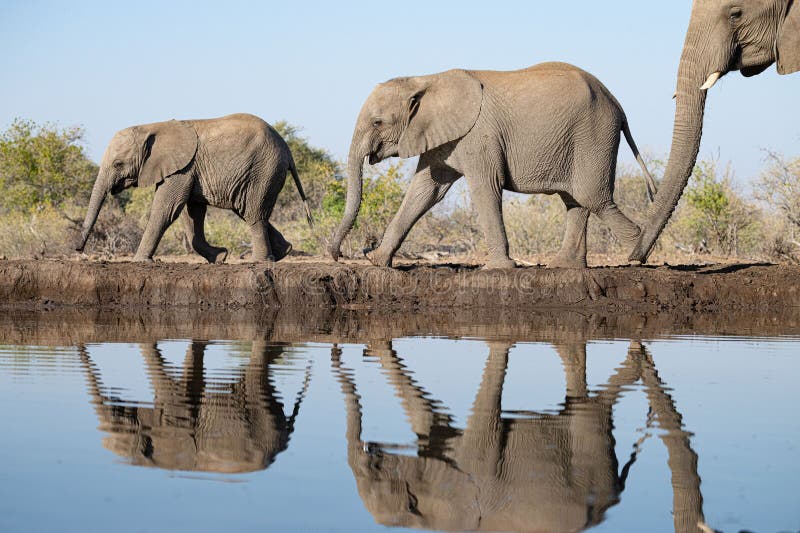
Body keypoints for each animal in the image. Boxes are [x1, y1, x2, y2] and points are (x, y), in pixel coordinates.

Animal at [76, 113, 313, 263]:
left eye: (118, 164)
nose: (79, 250)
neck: (151, 127)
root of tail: (287, 150)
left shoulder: (183, 168)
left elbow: (167, 209)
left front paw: (139, 261)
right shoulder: (188, 169)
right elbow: (192, 214)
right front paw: (220, 257)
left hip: (262, 171)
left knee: (253, 213)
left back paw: (259, 261)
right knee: (247, 211)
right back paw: (284, 252)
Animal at [329, 62, 658, 269]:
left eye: (377, 122)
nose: (339, 255)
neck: (425, 80)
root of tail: (617, 104)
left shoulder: (478, 135)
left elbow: (485, 187)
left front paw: (497, 269)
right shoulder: (442, 138)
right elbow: (425, 191)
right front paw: (377, 262)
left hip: (594, 135)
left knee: (593, 198)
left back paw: (636, 254)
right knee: (575, 200)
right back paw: (565, 267)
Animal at [331, 339, 708, 532]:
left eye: (376, 475)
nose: (341, 351)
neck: (423, 521)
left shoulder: (476, 471)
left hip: (590, 457)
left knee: (589, 411)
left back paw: (635, 358)